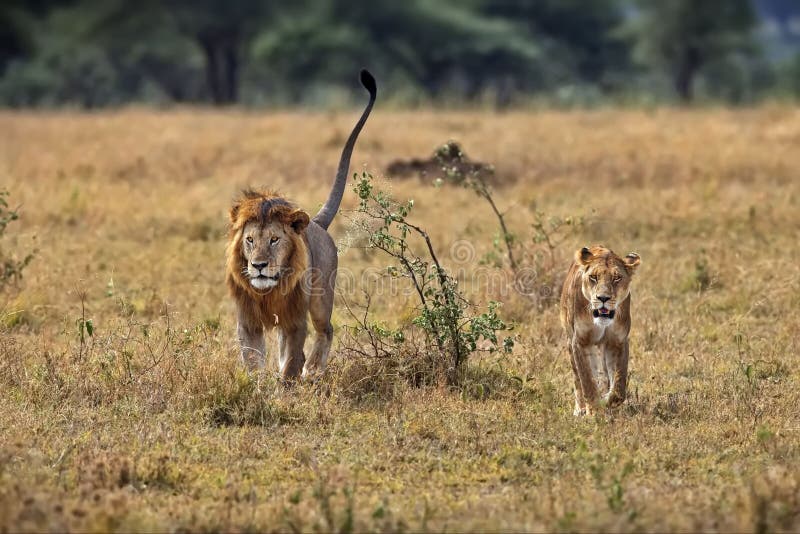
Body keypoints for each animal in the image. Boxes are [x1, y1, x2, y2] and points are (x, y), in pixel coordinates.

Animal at [226, 70, 376, 380]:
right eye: (250, 240)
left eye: (274, 240)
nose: (258, 265)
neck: (268, 291)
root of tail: (316, 223)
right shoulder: (248, 322)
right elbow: (254, 362)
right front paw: (259, 386)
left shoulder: (295, 320)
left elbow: (291, 362)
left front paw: (288, 383)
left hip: (321, 299)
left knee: (326, 330)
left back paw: (314, 370)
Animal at [559, 245, 641, 415]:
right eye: (593, 277)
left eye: (617, 278)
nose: (603, 298)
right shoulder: (580, 341)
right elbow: (587, 380)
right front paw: (594, 410)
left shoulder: (618, 342)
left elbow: (618, 387)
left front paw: (605, 400)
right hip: (571, 343)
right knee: (578, 378)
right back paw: (580, 409)